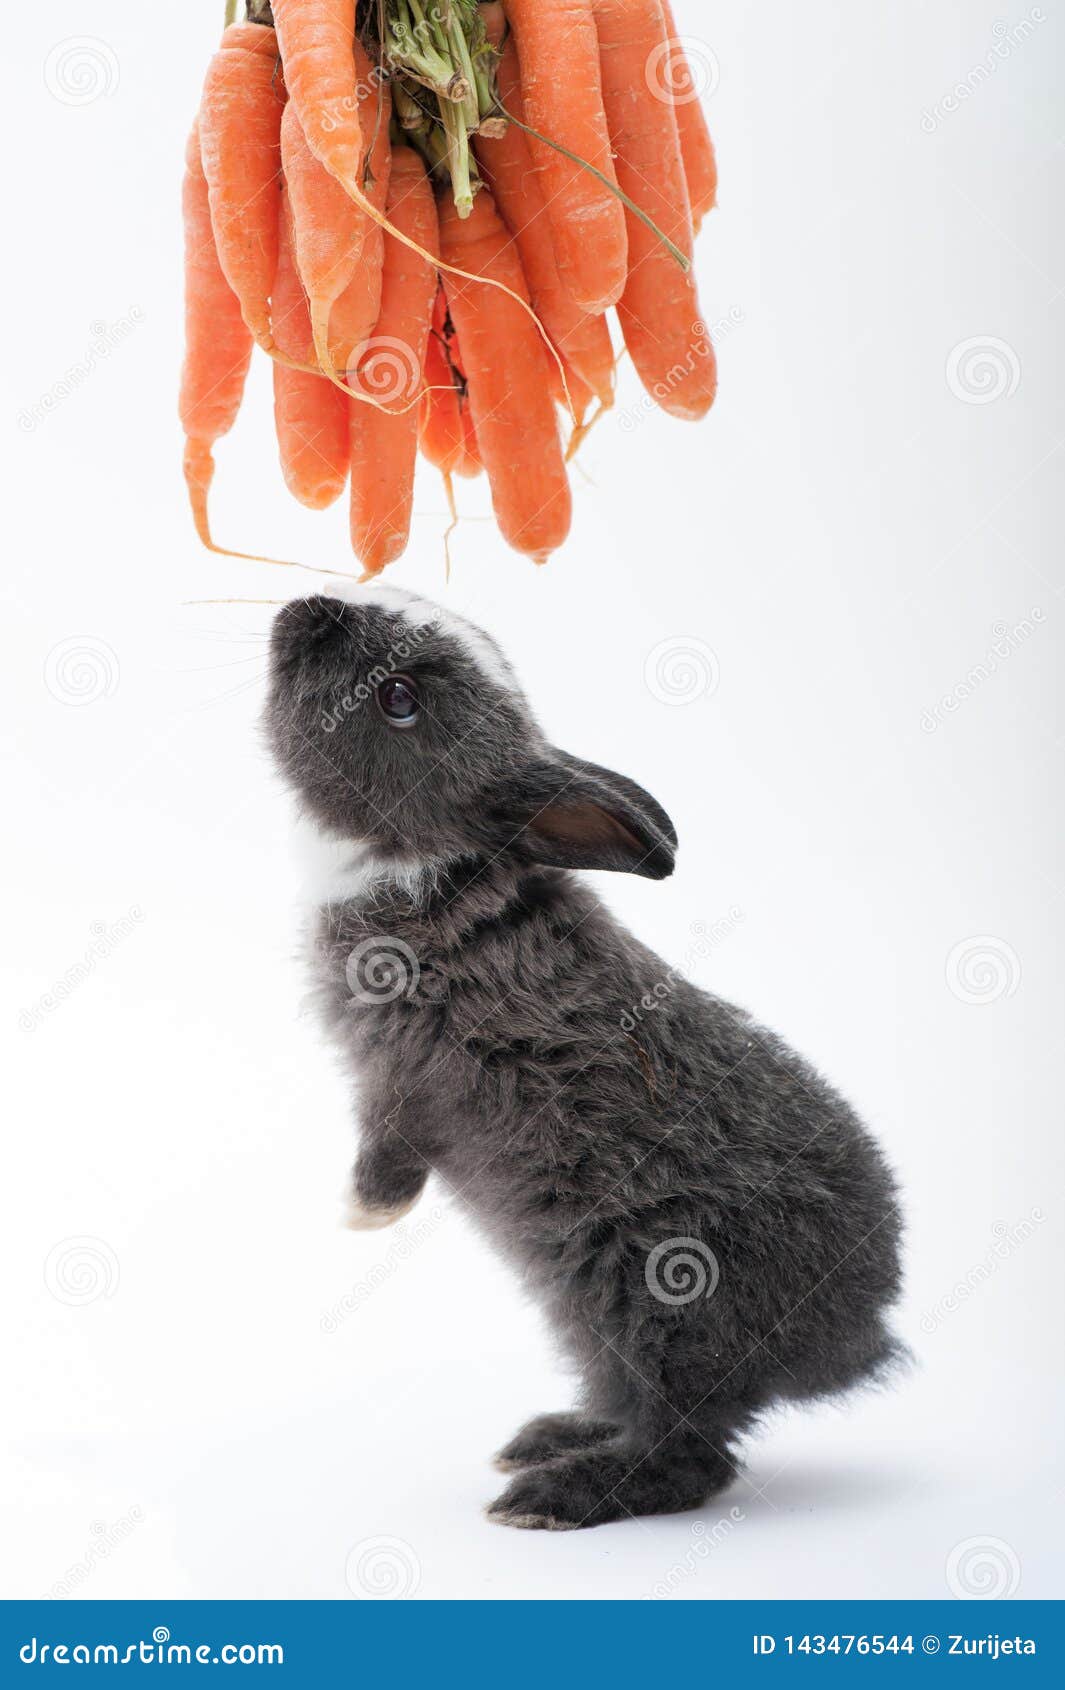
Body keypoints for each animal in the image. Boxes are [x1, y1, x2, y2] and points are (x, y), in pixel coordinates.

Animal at [265, 584, 904, 1531]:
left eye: (398, 700)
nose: (306, 608)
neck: (428, 864)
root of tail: (855, 1337)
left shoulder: (401, 1075)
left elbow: (389, 1147)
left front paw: (361, 1216)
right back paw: (551, 1437)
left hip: (658, 1311)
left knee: (690, 1456)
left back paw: (550, 1496)